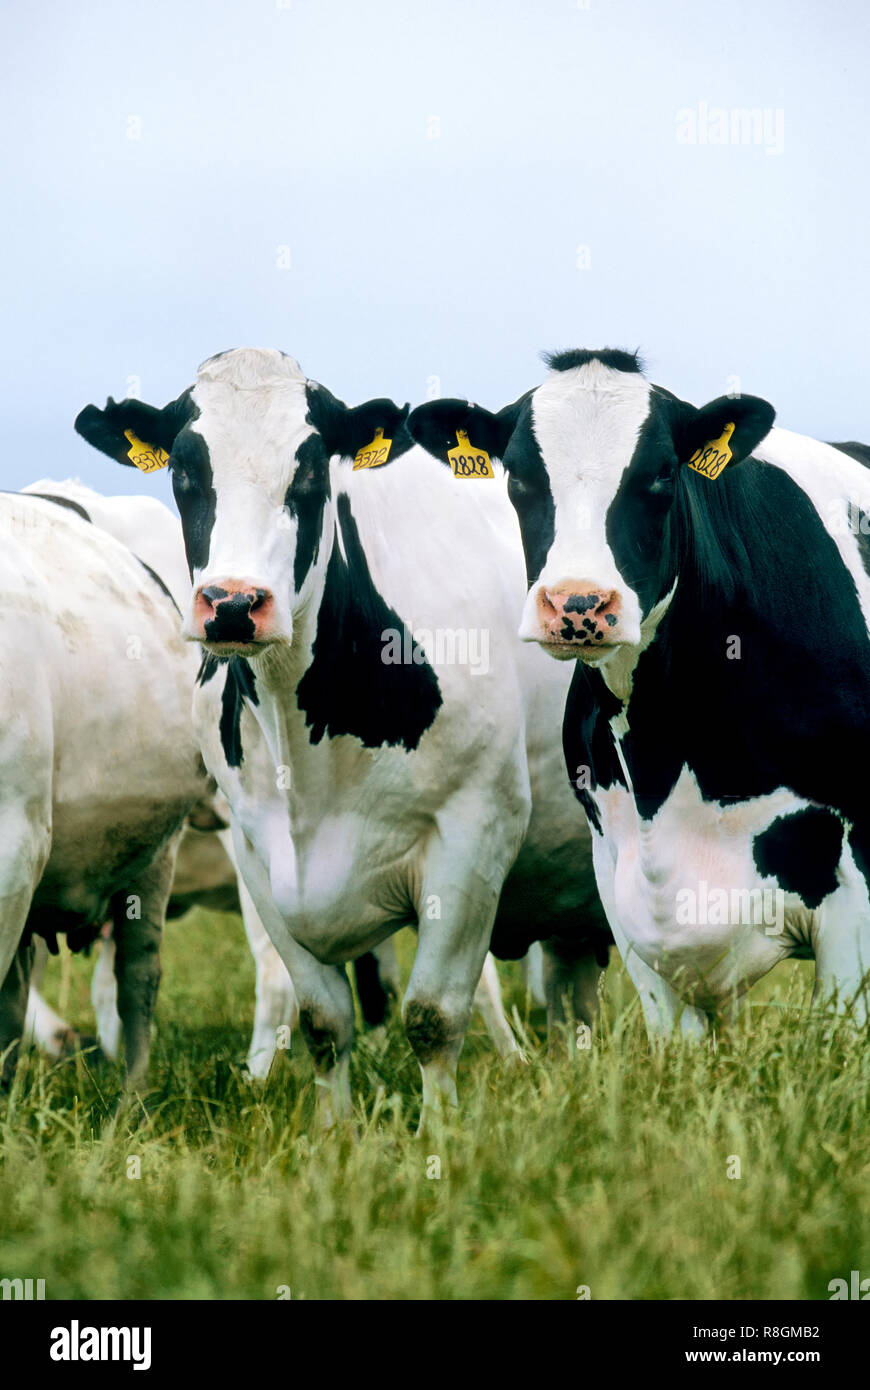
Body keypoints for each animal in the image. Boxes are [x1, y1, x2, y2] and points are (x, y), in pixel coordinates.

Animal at [75, 347, 609, 1129]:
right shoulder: (256, 854)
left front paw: (441, 1132)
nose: (233, 604)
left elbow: (432, 1014)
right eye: (184, 470)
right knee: (577, 995)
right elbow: (324, 1020)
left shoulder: (476, 832)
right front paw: (336, 1133)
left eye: (307, 469)